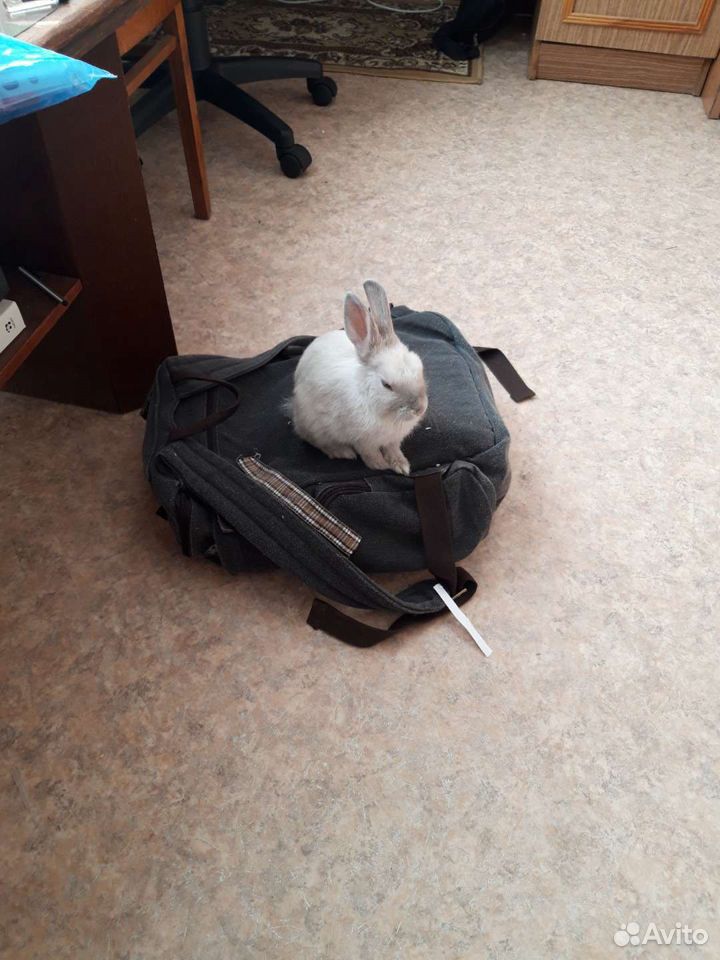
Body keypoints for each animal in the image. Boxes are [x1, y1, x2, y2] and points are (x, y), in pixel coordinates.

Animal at [289, 281, 428, 476]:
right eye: (386, 385)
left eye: (420, 368)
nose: (419, 409)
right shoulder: (362, 440)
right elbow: (369, 454)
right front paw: (380, 466)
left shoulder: (393, 440)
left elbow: (393, 450)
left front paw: (401, 465)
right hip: (314, 425)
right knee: (318, 442)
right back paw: (342, 452)